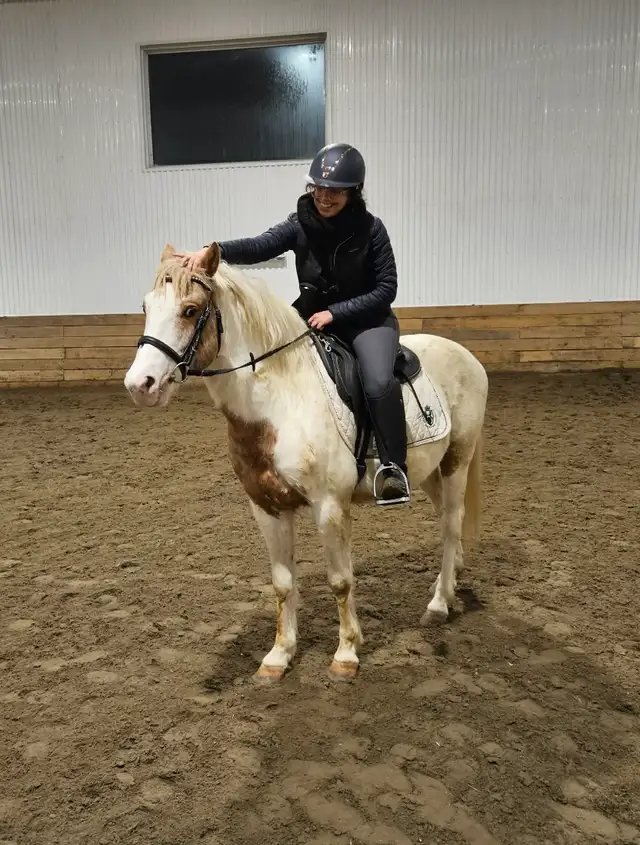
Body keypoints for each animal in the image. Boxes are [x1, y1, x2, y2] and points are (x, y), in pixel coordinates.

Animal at [124, 243, 489, 683]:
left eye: (191, 310)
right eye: (146, 306)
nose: (140, 385)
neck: (280, 404)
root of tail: (465, 355)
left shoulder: (329, 506)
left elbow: (341, 581)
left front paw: (346, 653)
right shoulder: (267, 508)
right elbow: (283, 584)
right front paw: (278, 656)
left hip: (457, 461)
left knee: (452, 524)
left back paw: (438, 604)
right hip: (429, 471)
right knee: (447, 523)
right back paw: (449, 587)